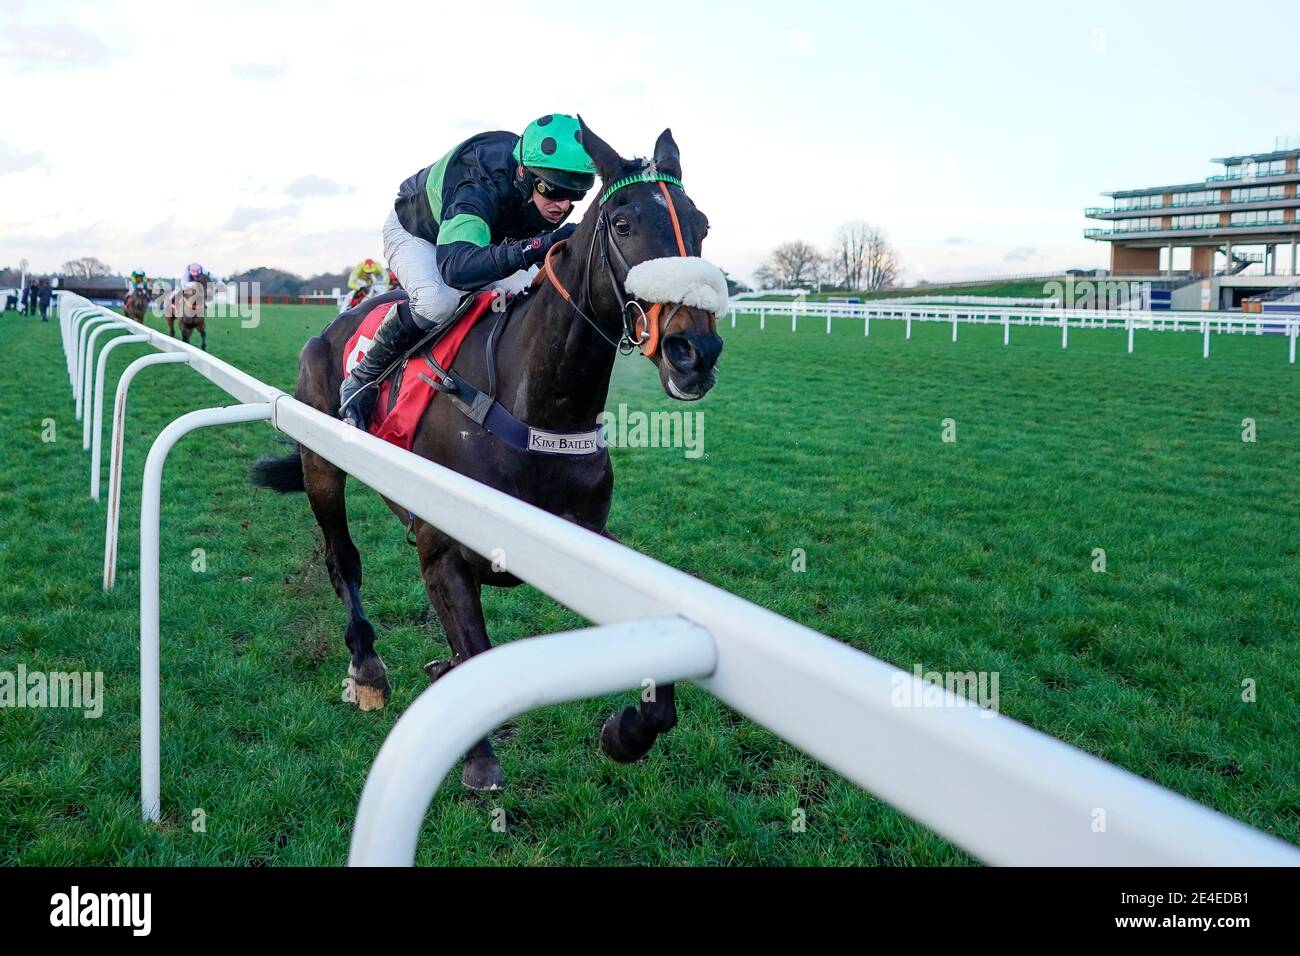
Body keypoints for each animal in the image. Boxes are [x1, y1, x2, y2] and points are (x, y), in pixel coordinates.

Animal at [251, 119, 723, 790]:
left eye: (701, 225)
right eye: (623, 223)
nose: (695, 352)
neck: (541, 406)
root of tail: (331, 326)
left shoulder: (586, 537)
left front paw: (628, 730)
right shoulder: (440, 549)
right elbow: (474, 646)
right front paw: (476, 756)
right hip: (322, 464)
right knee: (342, 558)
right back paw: (367, 667)